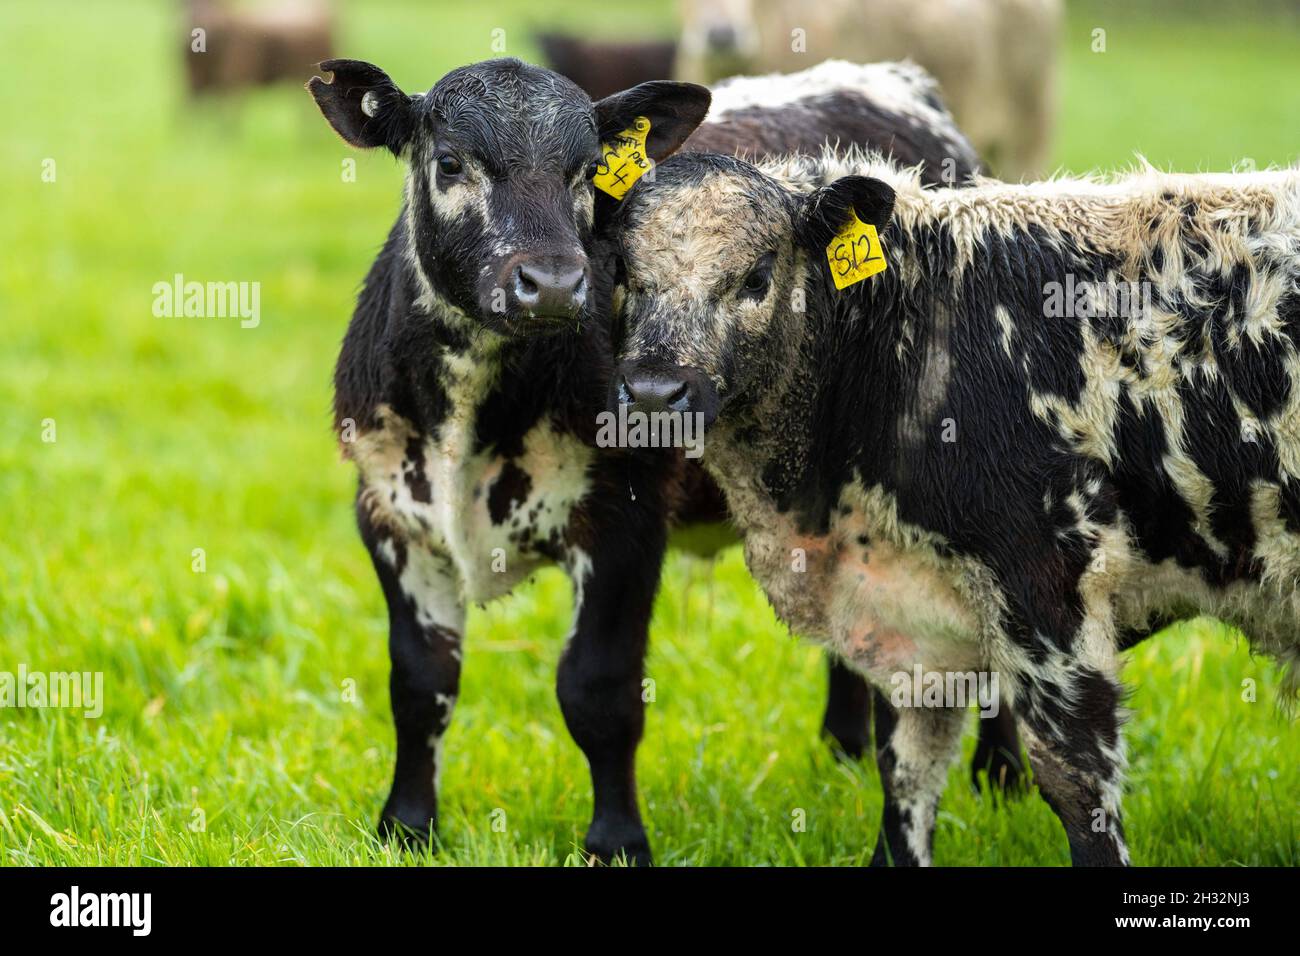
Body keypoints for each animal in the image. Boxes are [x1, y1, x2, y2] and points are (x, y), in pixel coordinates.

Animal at [307, 56, 1016, 865]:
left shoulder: (624, 522)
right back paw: (843, 750)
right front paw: (406, 825)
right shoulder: (392, 516)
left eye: (588, 169)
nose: (552, 283)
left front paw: (617, 840)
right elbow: (421, 683)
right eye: (451, 162)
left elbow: (598, 691)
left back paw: (1000, 775)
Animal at [608, 147, 1300, 865]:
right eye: (623, 271)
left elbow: (1078, 784)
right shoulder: (909, 621)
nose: (655, 392)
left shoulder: (1052, 583)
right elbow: (906, 775)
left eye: (757, 276)